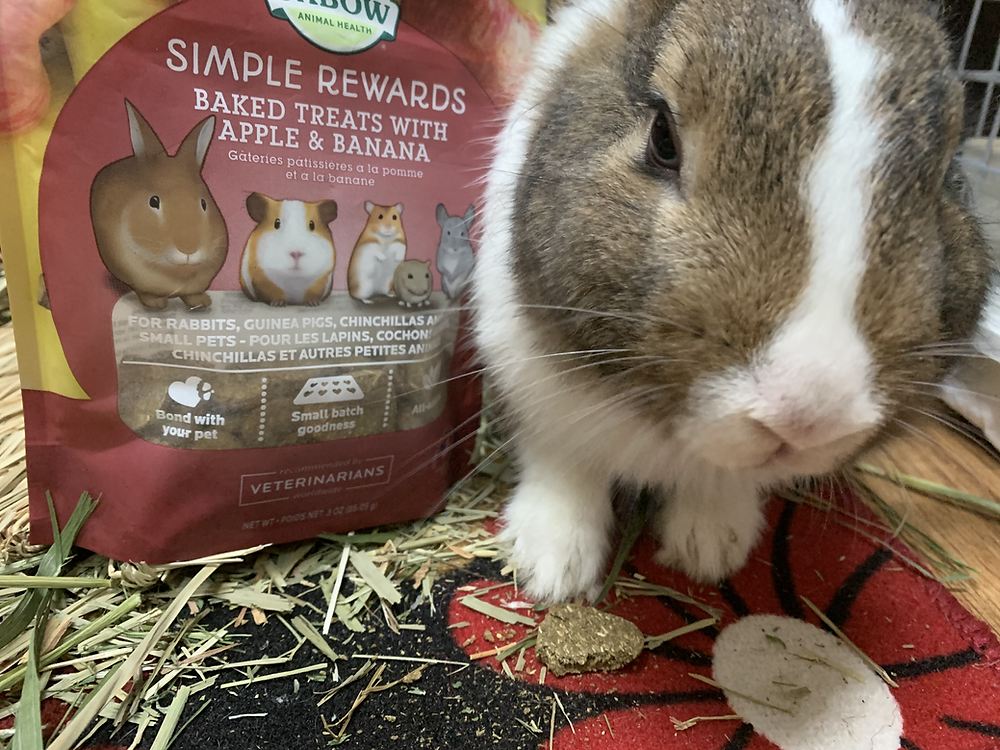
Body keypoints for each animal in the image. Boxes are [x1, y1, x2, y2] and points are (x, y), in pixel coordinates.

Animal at [90, 100, 229, 310]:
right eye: (154, 201)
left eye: (204, 203)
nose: (188, 250)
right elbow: (145, 293)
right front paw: (156, 304)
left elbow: (192, 295)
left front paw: (201, 302)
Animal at [471, 0, 995, 603]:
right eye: (663, 138)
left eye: (947, 175)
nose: (808, 417)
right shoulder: (533, 382)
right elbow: (565, 463)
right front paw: (550, 570)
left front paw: (710, 552)